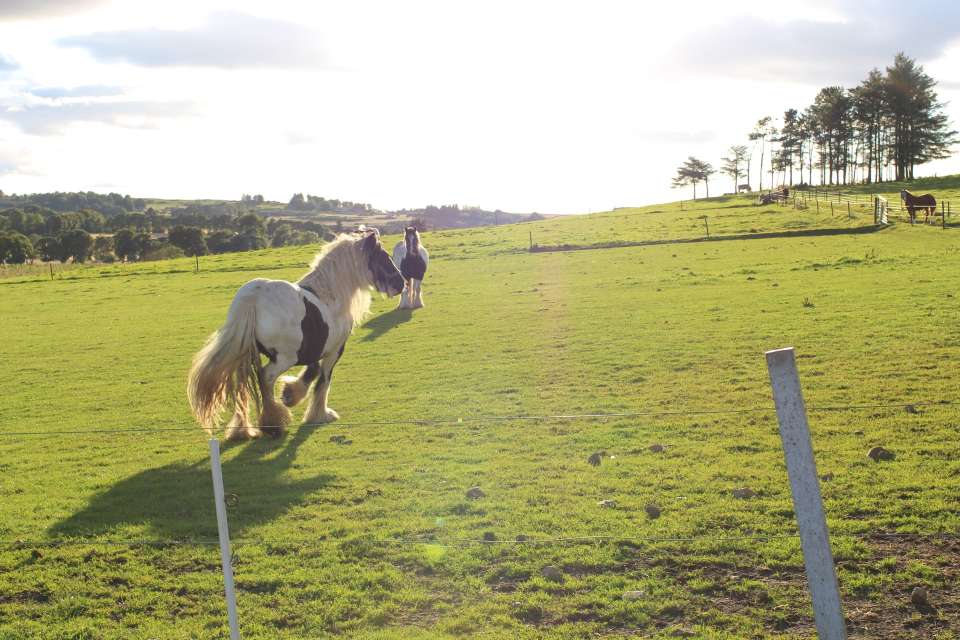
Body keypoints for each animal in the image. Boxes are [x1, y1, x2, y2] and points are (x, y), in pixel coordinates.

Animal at [187, 228, 404, 441]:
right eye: (383, 257)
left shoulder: (314, 348)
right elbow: (323, 380)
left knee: (242, 390)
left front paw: (290, 394)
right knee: (265, 377)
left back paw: (243, 431)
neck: (329, 296)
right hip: (285, 358)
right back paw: (273, 424)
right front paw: (319, 414)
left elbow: (312, 371)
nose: (400, 283)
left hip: (246, 356)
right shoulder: (334, 351)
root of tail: (254, 297)